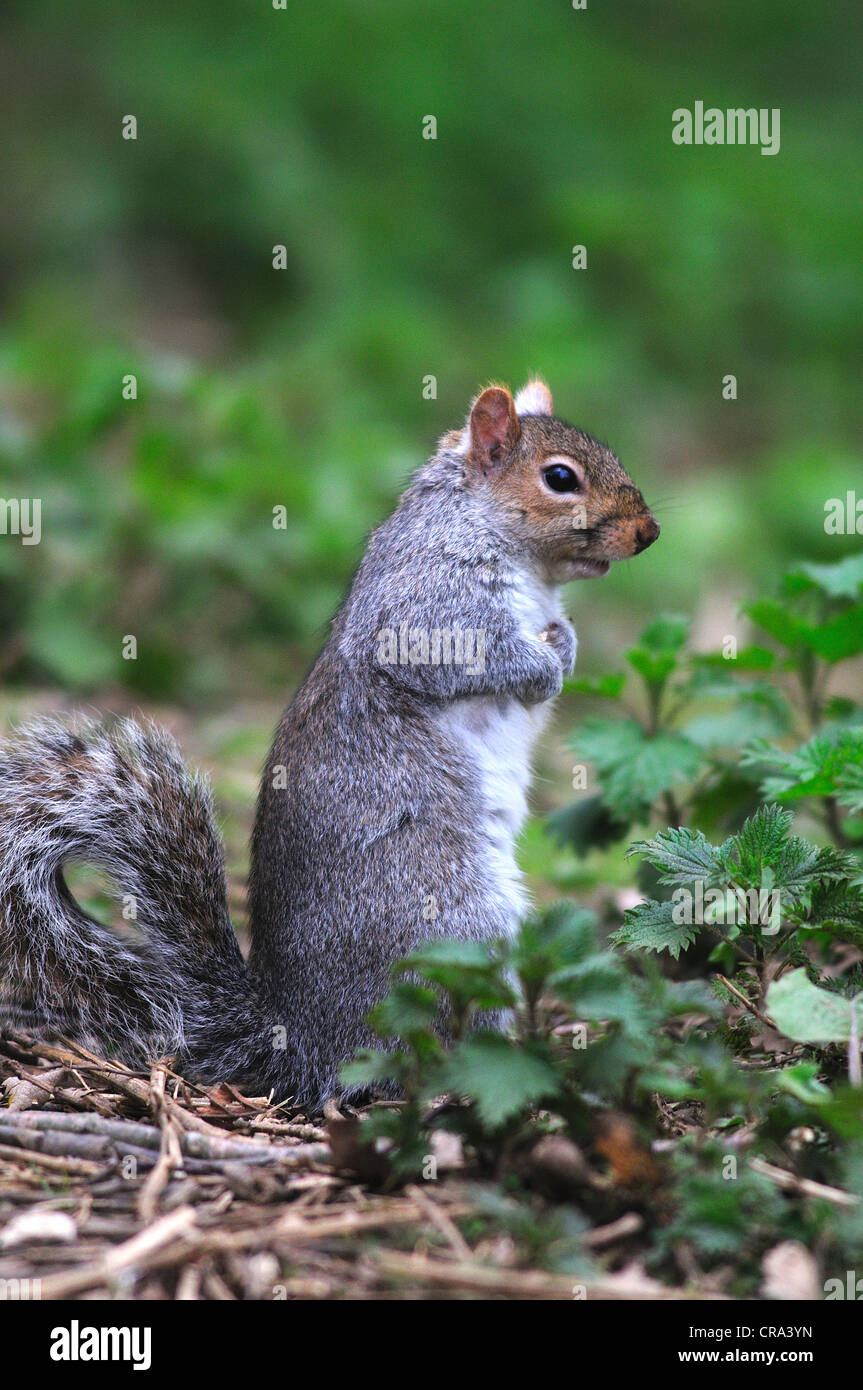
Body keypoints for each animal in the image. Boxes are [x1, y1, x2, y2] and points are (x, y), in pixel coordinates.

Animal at [0, 379, 659, 1110]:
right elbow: (457, 653)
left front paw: (563, 647)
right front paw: (541, 667)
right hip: (454, 923)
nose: (648, 532)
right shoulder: (426, 603)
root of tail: (297, 1041)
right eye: (560, 479)